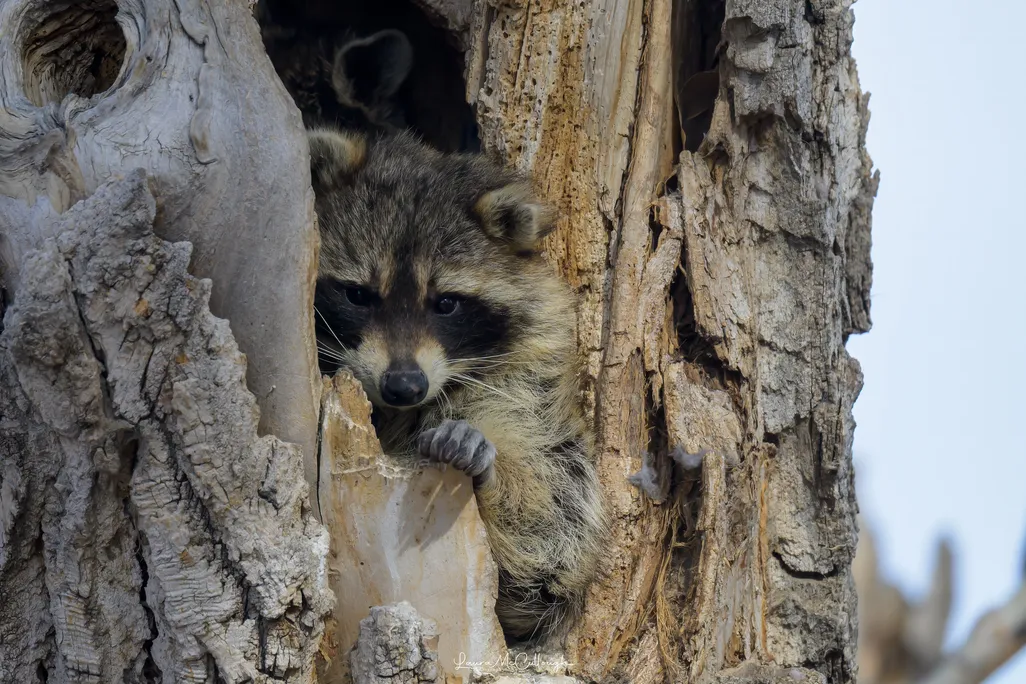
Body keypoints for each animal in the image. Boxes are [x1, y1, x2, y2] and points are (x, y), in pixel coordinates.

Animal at [308, 128, 605, 641]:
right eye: (359, 295)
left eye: (446, 303)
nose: (404, 384)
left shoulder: (531, 385)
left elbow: (552, 537)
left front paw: (488, 459)